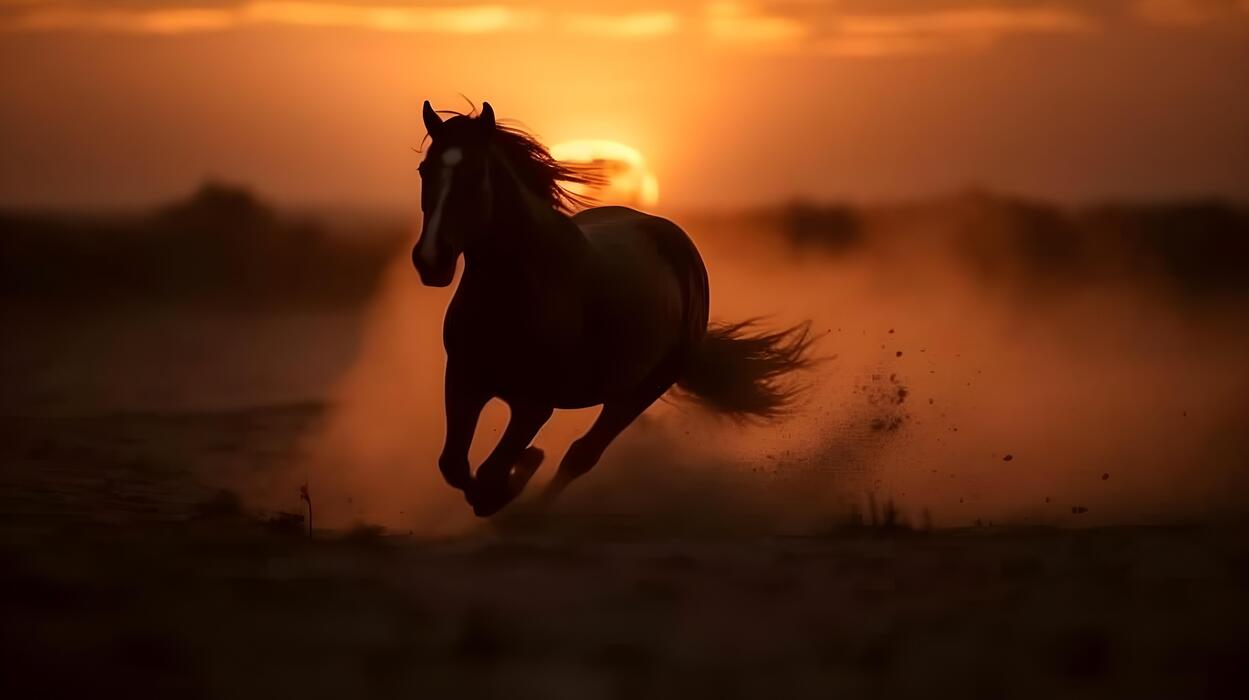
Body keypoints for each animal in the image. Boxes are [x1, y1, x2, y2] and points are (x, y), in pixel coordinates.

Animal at [412, 100, 812, 517]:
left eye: (476, 174)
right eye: (424, 170)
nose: (431, 260)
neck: (513, 293)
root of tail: (675, 241)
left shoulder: (534, 405)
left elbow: (490, 476)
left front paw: (521, 472)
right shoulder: (463, 380)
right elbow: (454, 465)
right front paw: (517, 471)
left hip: (639, 391)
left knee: (582, 455)